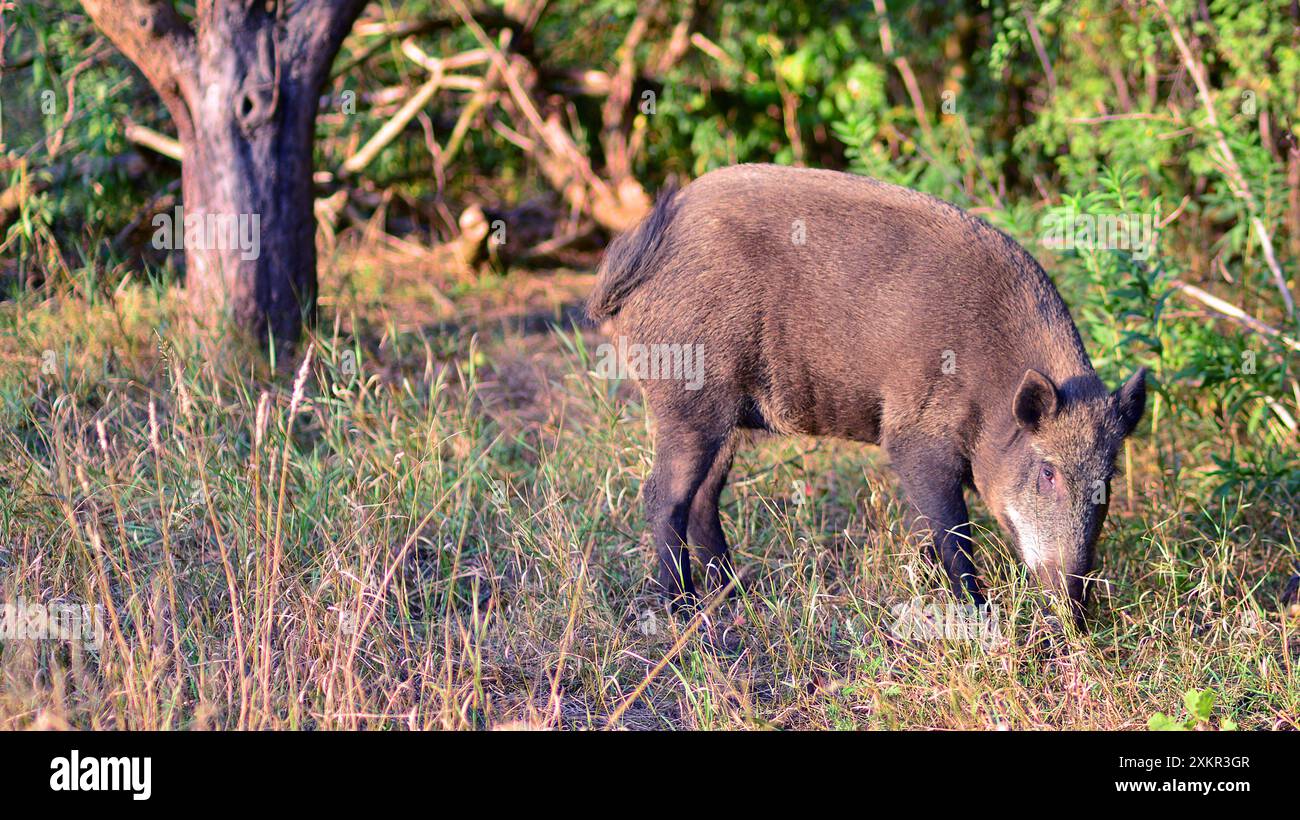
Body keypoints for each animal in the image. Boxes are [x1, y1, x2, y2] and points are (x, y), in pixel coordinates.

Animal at [586, 164, 1147, 623]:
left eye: (1108, 479)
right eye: (1048, 472)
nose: (1076, 609)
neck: (994, 393)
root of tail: (649, 243)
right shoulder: (913, 437)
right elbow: (952, 532)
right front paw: (979, 615)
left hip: (723, 419)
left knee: (704, 499)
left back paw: (738, 598)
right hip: (687, 398)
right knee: (663, 496)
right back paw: (681, 611)